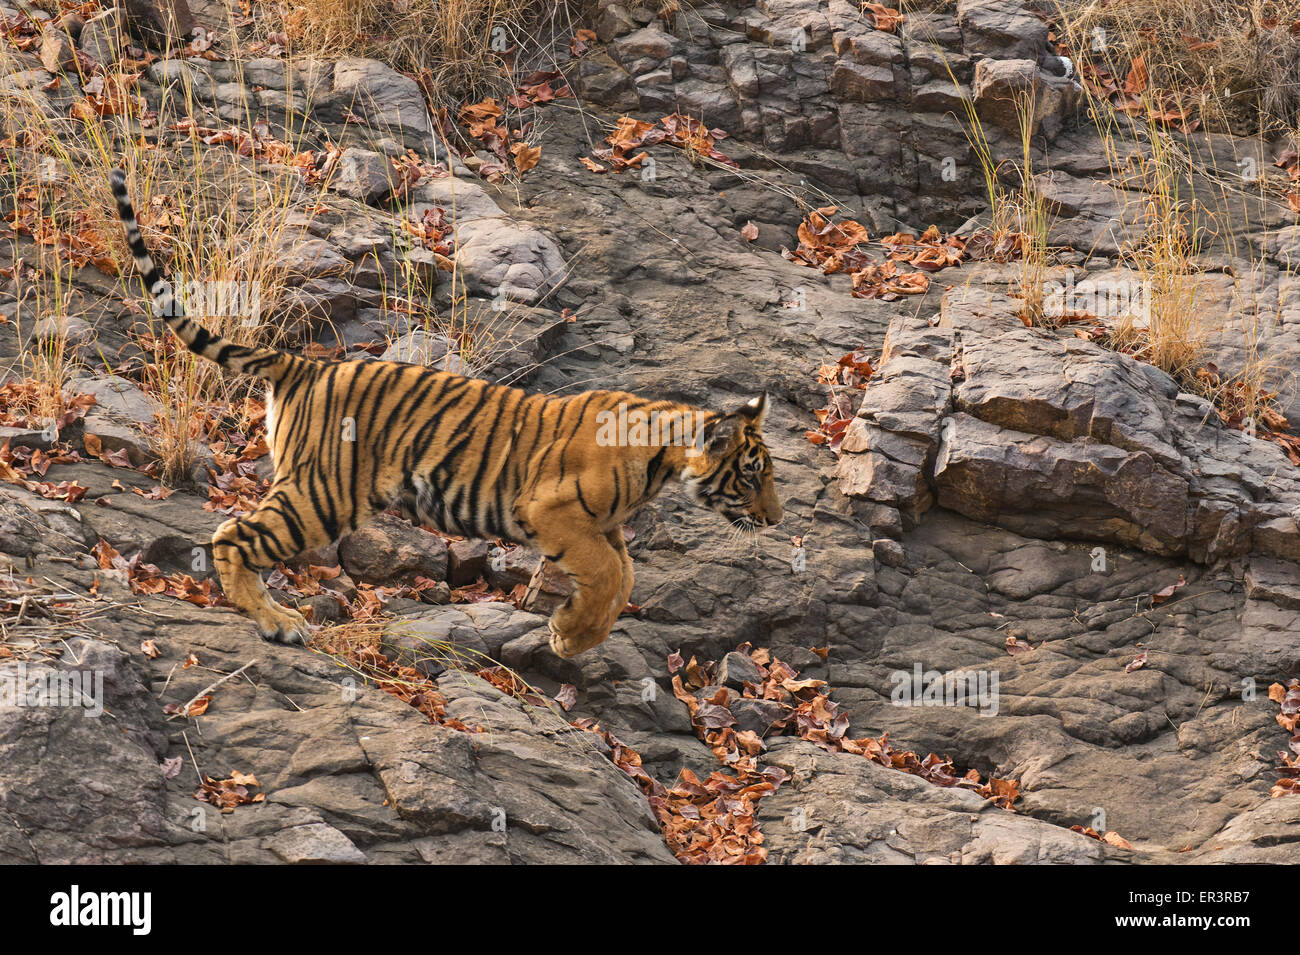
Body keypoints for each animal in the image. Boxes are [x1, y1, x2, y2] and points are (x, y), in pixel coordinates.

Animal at [109, 169, 782, 658]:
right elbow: (609, 575)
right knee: (233, 535)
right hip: (323, 493)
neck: (664, 458)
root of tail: (306, 365)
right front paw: (570, 636)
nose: (775, 520)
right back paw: (278, 622)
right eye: (752, 474)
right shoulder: (555, 512)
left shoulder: (605, 526)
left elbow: (625, 576)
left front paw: (571, 631)